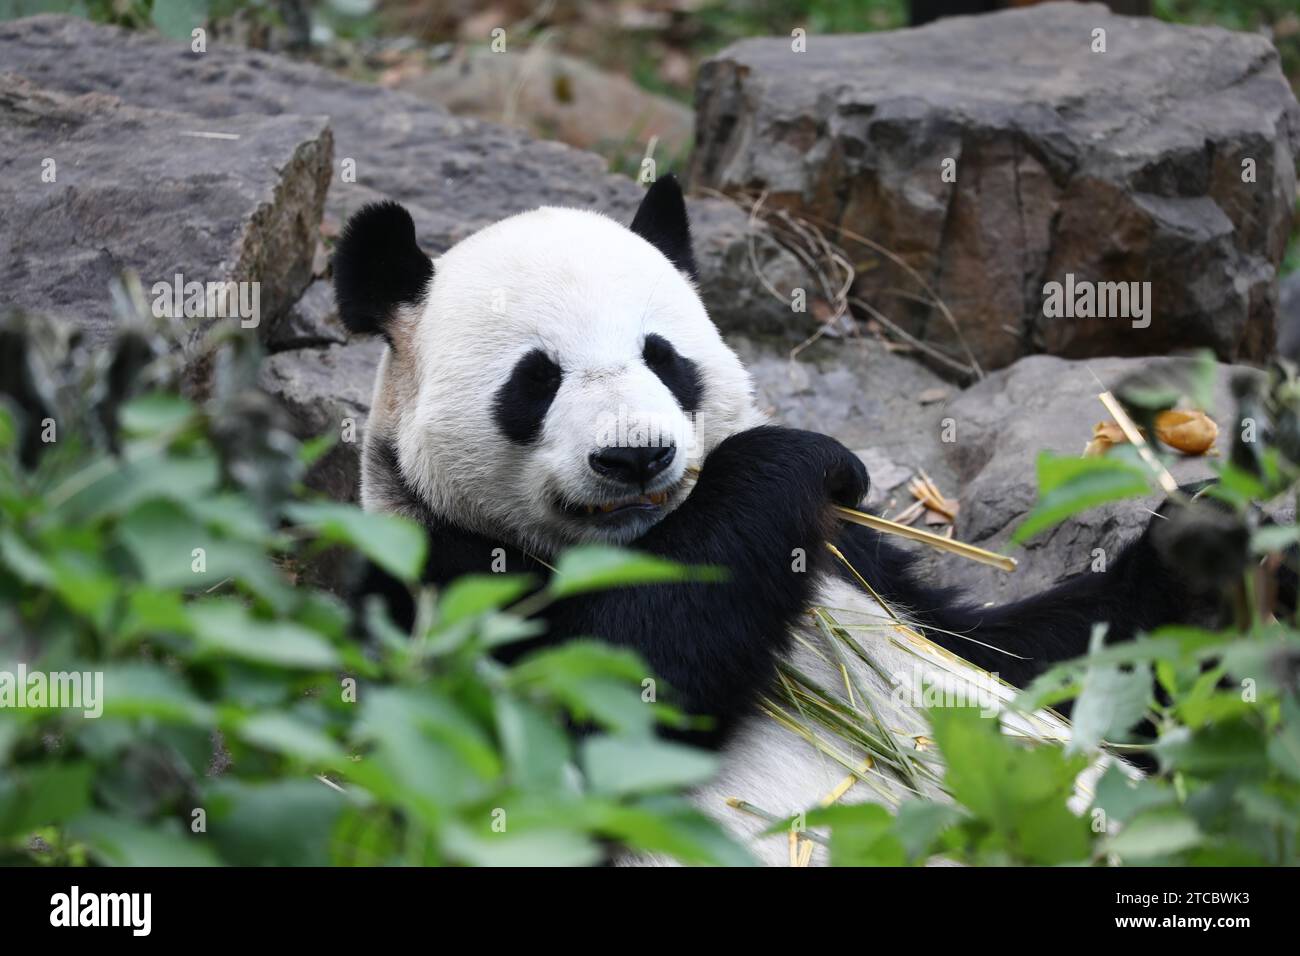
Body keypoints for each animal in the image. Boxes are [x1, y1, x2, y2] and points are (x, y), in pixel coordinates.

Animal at [332, 175, 1207, 865]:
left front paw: (1200, 540)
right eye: (536, 379)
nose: (635, 457)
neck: (644, 544)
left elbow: (1024, 663)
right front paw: (802, 458)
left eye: (663, 357)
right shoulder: (435, 587)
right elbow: (586, 724)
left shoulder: (863, 574)